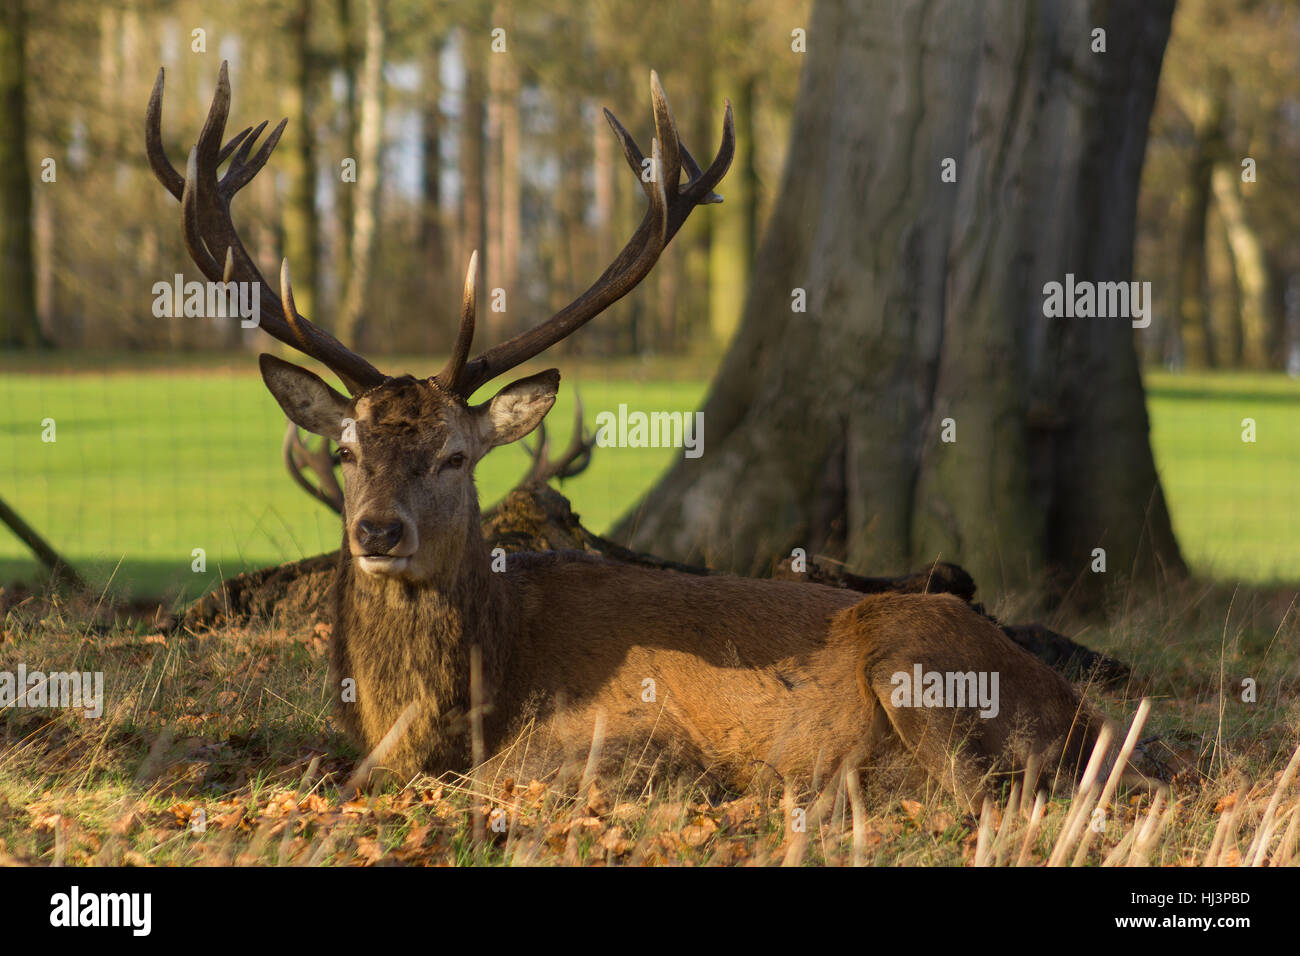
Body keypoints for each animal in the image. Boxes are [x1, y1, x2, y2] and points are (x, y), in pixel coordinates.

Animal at [147, 63, 1112, 812]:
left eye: (456, 456)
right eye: (347, 450)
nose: (377, 532)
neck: (461, 699)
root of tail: (1087, 719)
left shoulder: (623, 731)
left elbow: (493, 778)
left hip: (925, 668)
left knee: (990, 797)